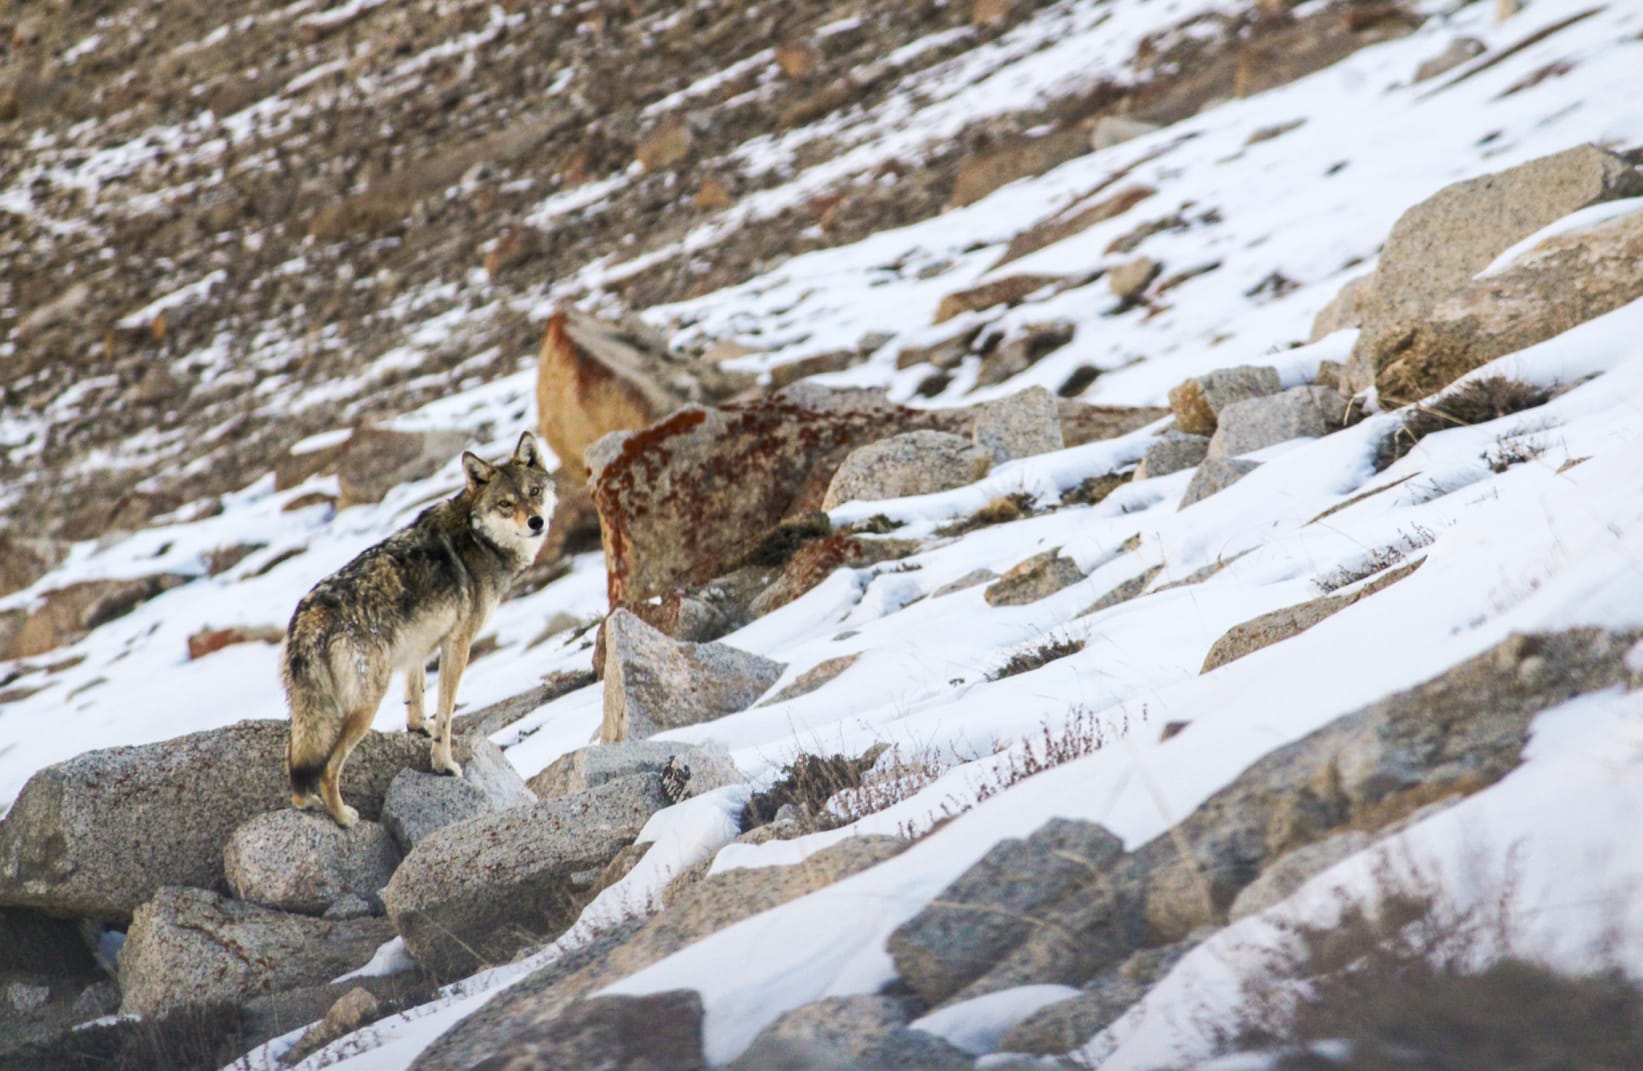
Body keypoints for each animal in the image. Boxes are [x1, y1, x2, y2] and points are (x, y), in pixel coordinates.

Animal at [282, 431, 553, 826]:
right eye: (505, 504)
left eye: (533, 491)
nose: (536, 522)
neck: (479, 538)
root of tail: (310, 616)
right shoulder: (458, 643)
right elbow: (447, 713)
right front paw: (444, 764)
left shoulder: (418, 644)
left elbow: (416, 691)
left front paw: (418, 726)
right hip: (365, 704)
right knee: (328, 768)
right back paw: (344, 817)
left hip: (314, 712)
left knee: (294, 763)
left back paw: (310, 805)